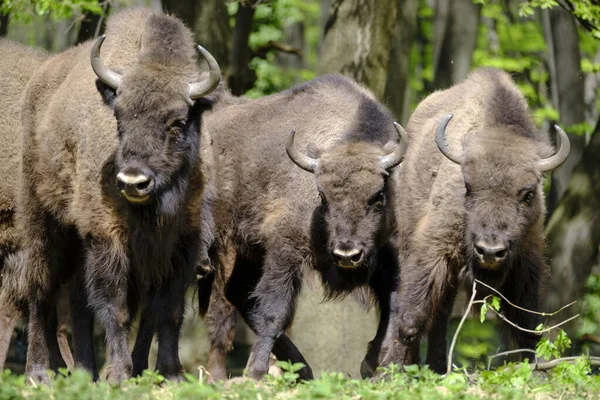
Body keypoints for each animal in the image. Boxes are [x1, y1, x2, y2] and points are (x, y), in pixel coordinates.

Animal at [18, 9, 220, 382]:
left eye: (176, 122)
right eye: (120, 119)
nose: (132, 181)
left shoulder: (182, 243)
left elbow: (168, 310)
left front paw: (170, 373)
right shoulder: (106, 236)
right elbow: (117, 306)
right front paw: (120, 373)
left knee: (78, 305)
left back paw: (85, 371)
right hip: (43, 219)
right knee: (40, 288)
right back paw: (38, 373)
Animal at [199, 73, 410, 380]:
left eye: (378, 195)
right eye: (322, 196)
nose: (347, 254)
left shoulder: (386, 254)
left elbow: (392, 302)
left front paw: (374, 364)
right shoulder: (283, 251)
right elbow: (275, 310)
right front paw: (256, 370)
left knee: (236, 291)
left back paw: (303, 369)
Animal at [378, 67, 568, 374]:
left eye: (528, 194)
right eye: (468, 187)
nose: (490, 251)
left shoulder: (527, 255)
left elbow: (526, 326)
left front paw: (535, 372)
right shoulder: (434, 248)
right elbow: (412, 317)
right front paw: (389, 374)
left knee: (442, 314)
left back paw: (437, 367)